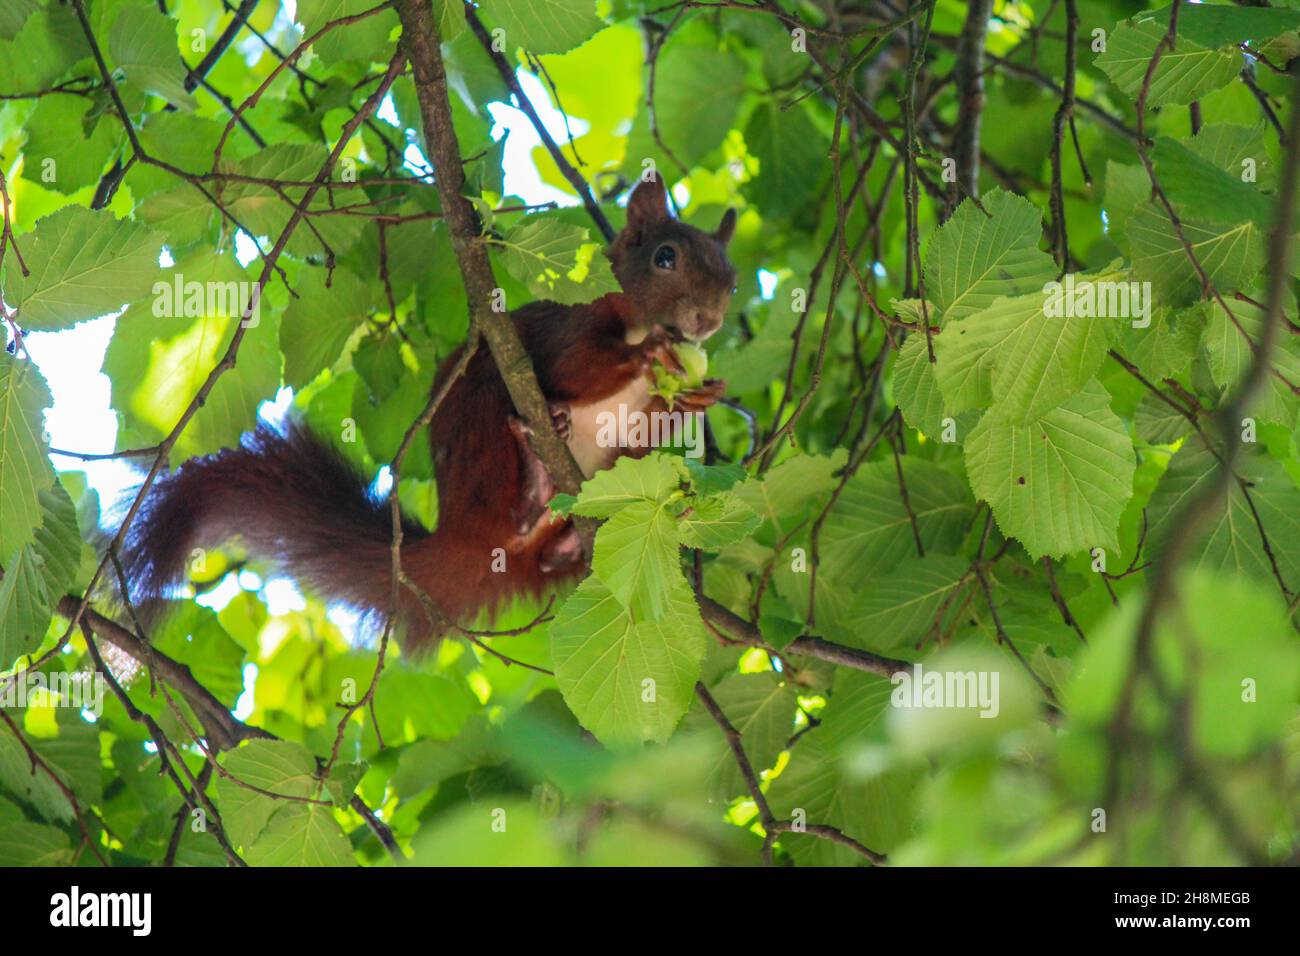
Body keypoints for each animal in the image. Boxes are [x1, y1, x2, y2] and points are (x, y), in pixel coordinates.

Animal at [118, 173, 738, 650]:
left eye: (731, 282)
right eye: (664, 257)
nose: (708, 322)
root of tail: (459, 535)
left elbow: (651, 419)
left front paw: (696, 395)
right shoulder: (571, 324)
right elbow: (574, 368)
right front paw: (649, 354)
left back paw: (564, 538)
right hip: (480, 419)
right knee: (513, 501)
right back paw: (534, 483)